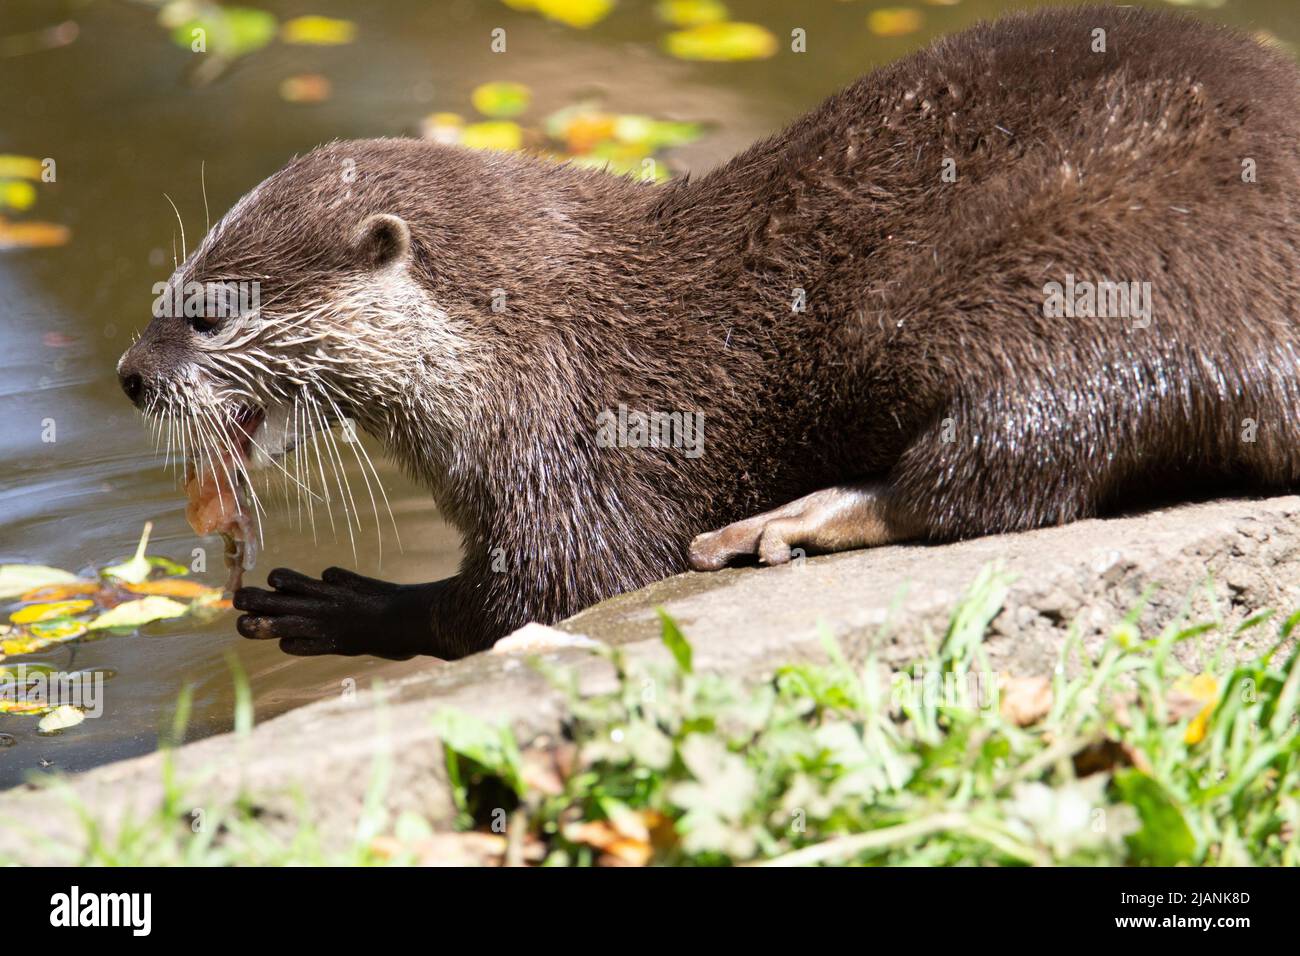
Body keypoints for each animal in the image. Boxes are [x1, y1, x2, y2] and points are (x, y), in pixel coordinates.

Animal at [117, 6, 1300, 660]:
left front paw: (356, 605)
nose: (129, 373)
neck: (523, 336)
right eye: (166, 285)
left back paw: (793, 519)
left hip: (1076, 274)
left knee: (1005, 467)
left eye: (209, 313)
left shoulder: (585, 447)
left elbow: (550, 594)